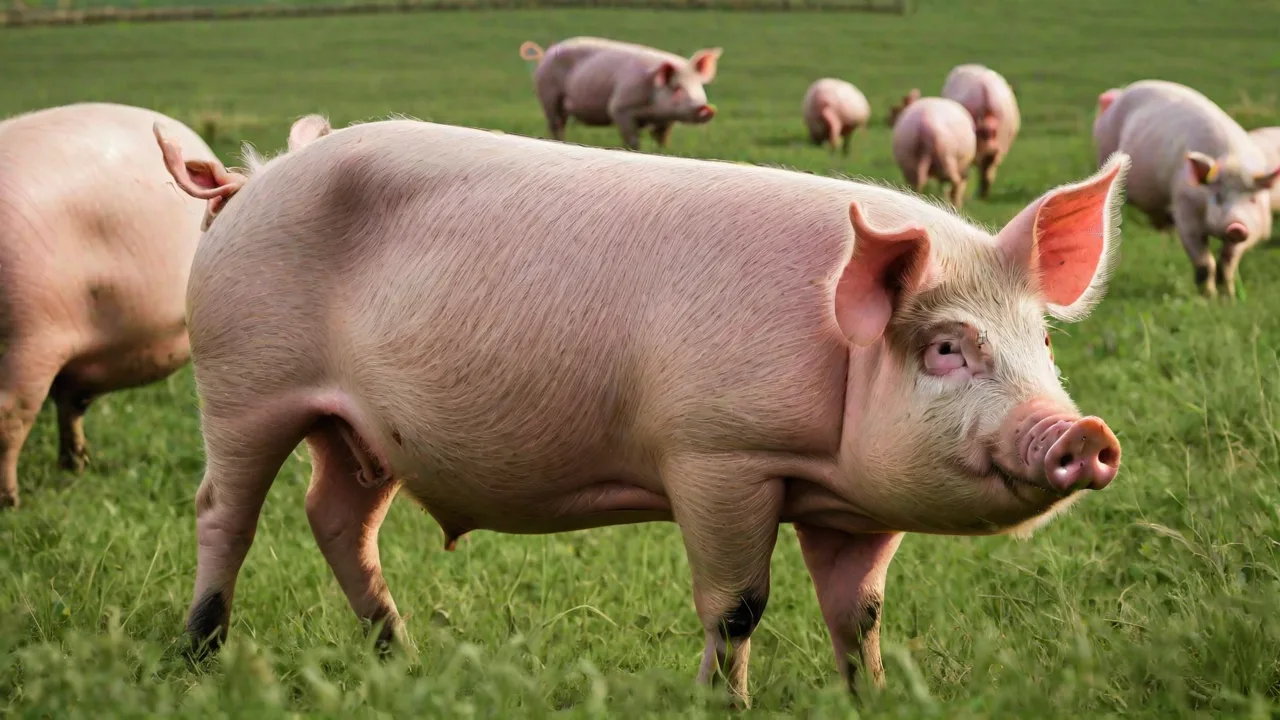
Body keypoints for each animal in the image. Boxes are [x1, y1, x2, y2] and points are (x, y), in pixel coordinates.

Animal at [157, 115, 1127, 706]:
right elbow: (737, 605)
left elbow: (860, 611)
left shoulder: (853, 504)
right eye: (947, 348)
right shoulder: (718, 453)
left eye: (1042, 341)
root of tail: (253, 180)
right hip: (243, 382)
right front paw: (722, 703)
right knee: (222, 511)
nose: (1082, 433)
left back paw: (401, 657)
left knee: (335, 515)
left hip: (361, 430)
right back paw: (197, 657)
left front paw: (875, 698)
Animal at [519, 37, 721, 152]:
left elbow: (661, 140)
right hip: (548, 95)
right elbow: (633, 140)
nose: (705, 108)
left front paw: (663, 152)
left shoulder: (665, 120)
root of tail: (545, 53)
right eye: (677, 88)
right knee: (556, 124)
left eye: (699, 86)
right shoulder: (620, 108)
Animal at [1092, 80, 1280, 298]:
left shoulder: (1252, 230)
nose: (1236, 227)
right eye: (1217, 197)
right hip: (1104, 151)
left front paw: (1229, 298)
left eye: (1252, 199)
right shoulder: (1185, 210)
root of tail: (1119, 93)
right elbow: (1204, 262)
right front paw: (1208, 298)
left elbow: (1228, 262)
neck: (1232, 161)